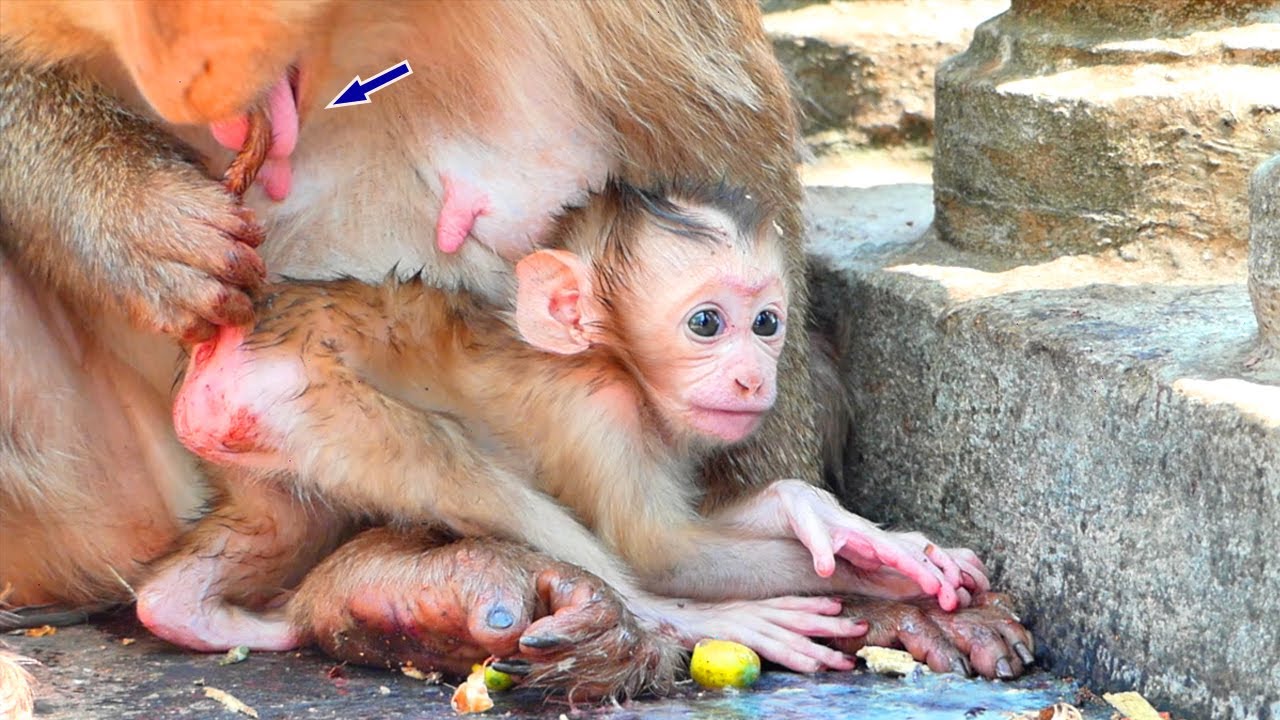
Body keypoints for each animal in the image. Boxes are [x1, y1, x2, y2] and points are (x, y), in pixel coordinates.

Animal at [0, 0, 1034, 694]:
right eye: (705, 324)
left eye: (763, 324)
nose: (750, 374)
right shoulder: (607, 422)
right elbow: (663, 546)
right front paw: (141, 222)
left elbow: (727, 151)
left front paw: (856, 549)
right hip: (223, 437)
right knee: (452, 470)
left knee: (266, 528)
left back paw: (366, 593)